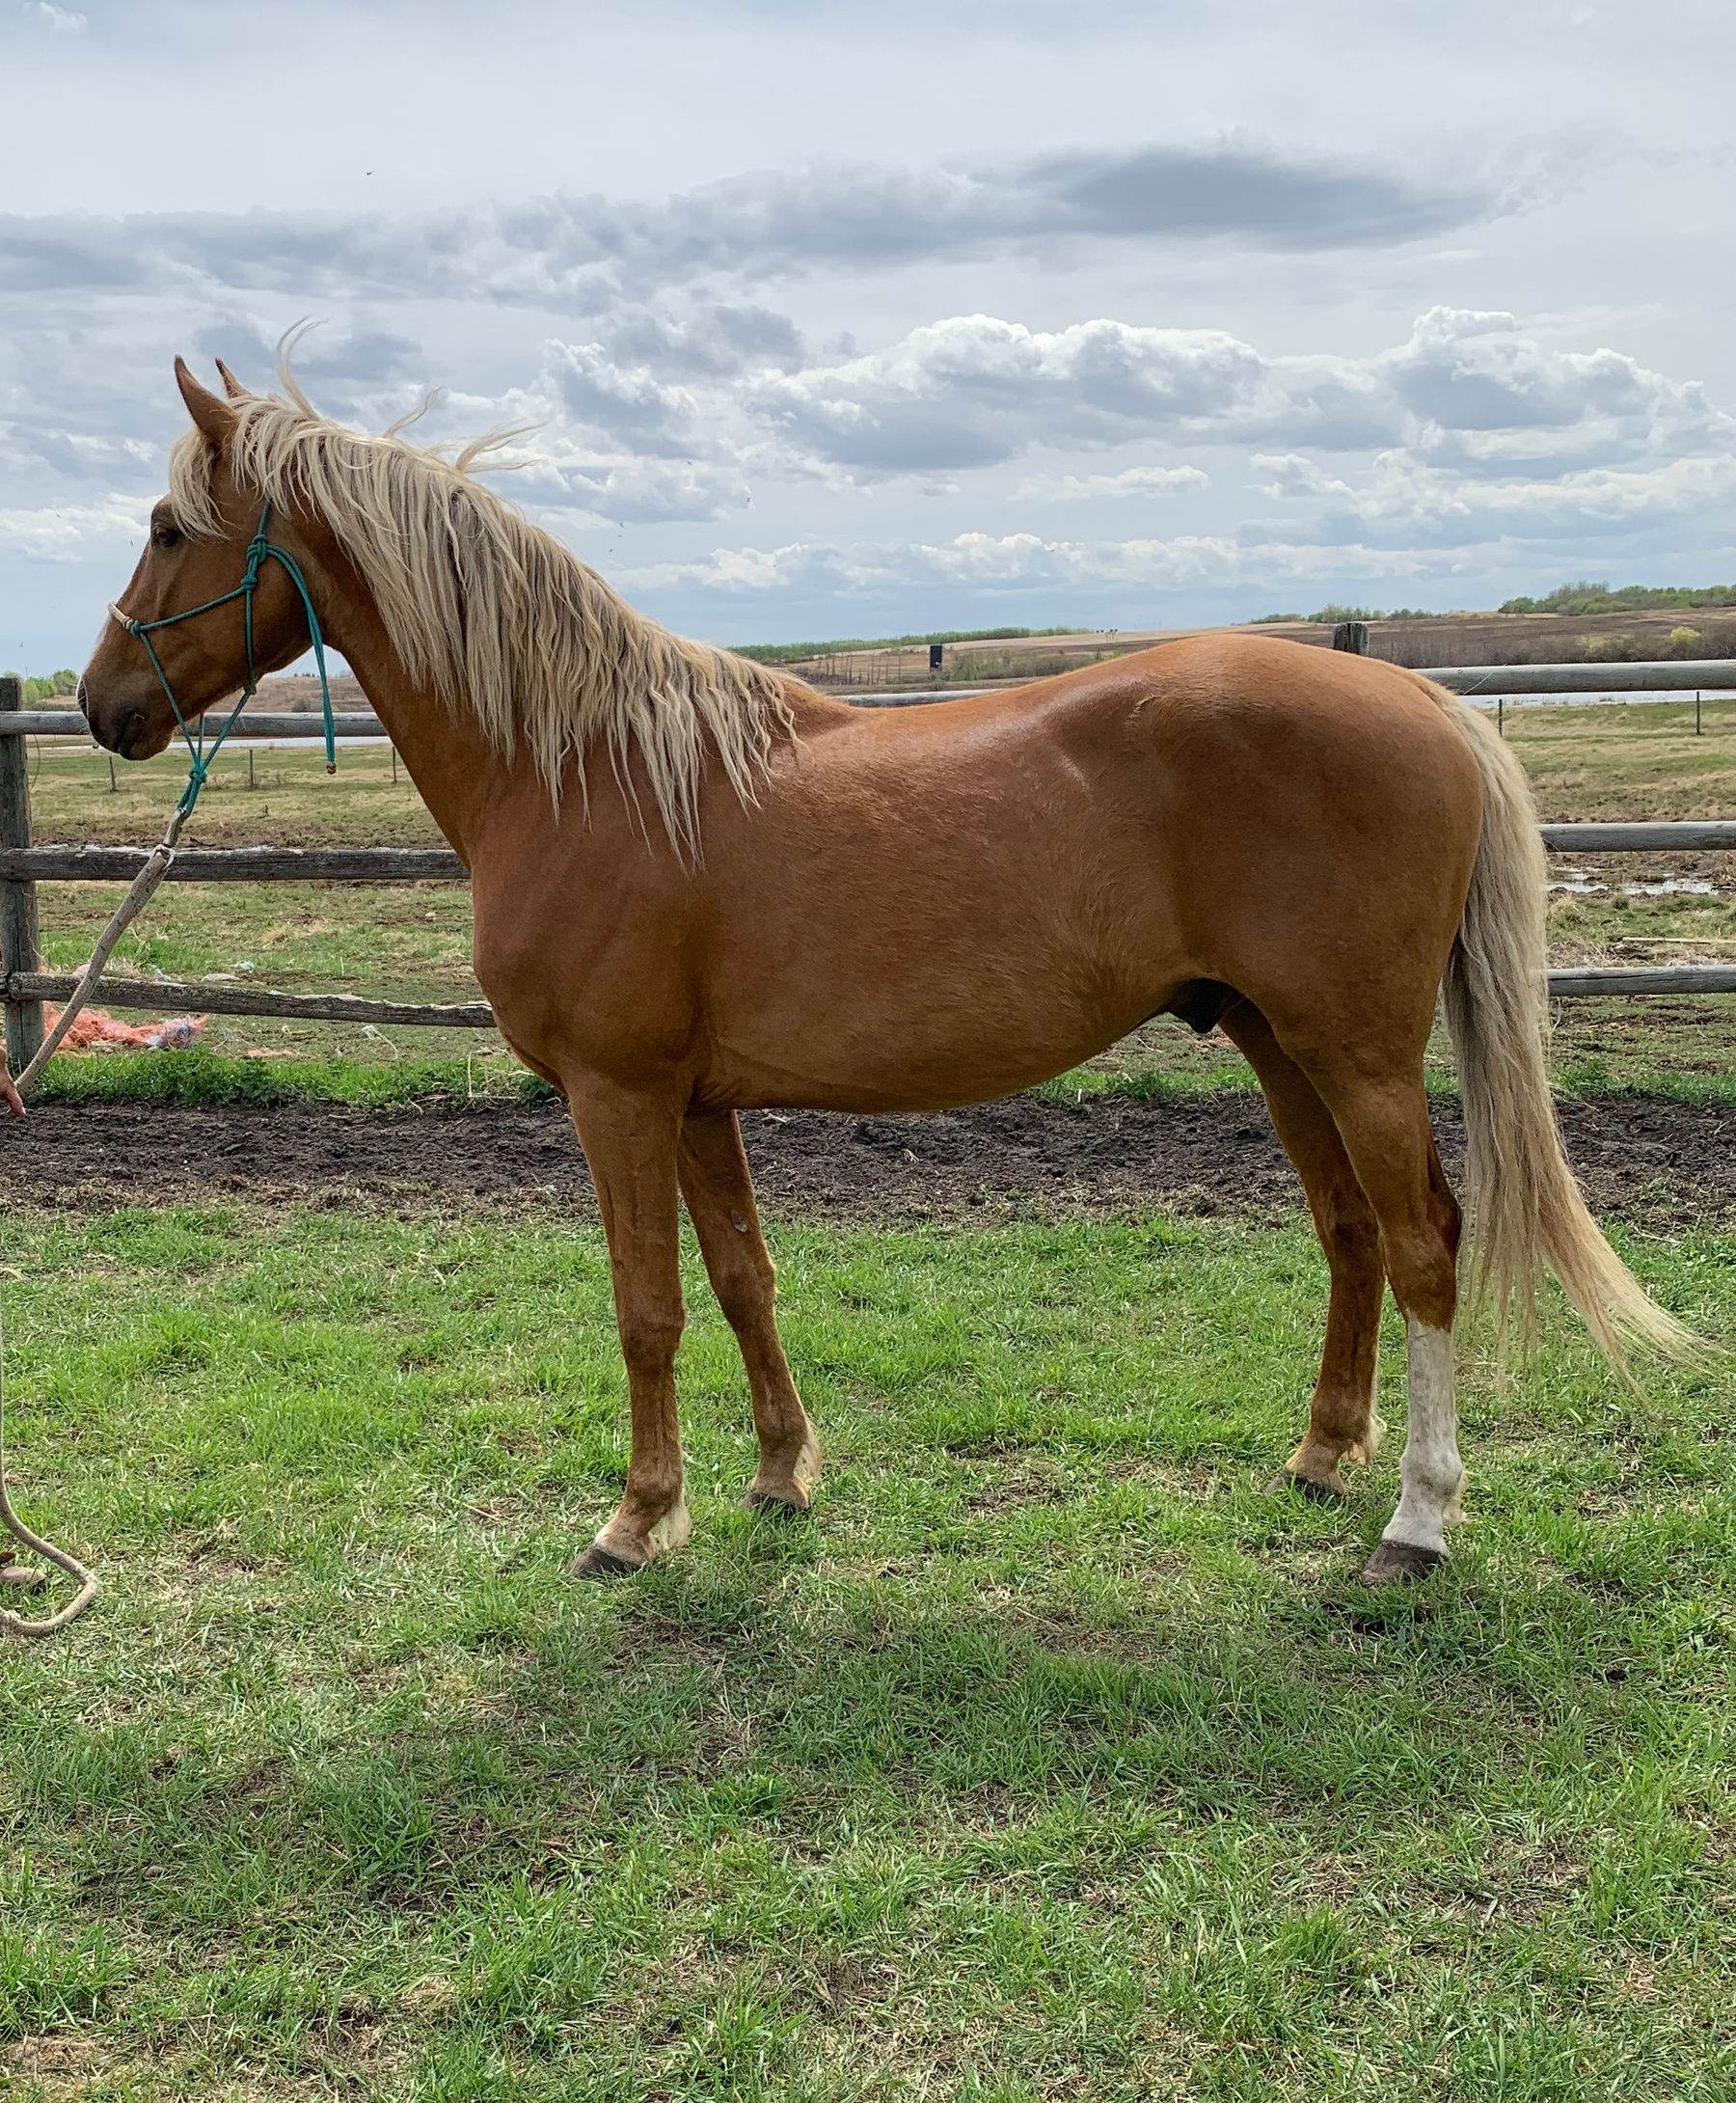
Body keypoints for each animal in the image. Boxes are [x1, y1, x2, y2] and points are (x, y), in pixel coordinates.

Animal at [77, 358, 1689, 1588]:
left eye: (166, 525)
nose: (99, 707)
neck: (585, 772)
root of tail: (1421, 691)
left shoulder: (616, 1096)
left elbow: (646, 1310)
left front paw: (635, 1521)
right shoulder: (697, 1100)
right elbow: (742, 1281)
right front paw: (780, 1477)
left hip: (1354, 1052)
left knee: (1423, 1247)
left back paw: (1417, 1520)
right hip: (1276, 1041)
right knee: (1352, 1237)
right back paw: (1322, 1457)